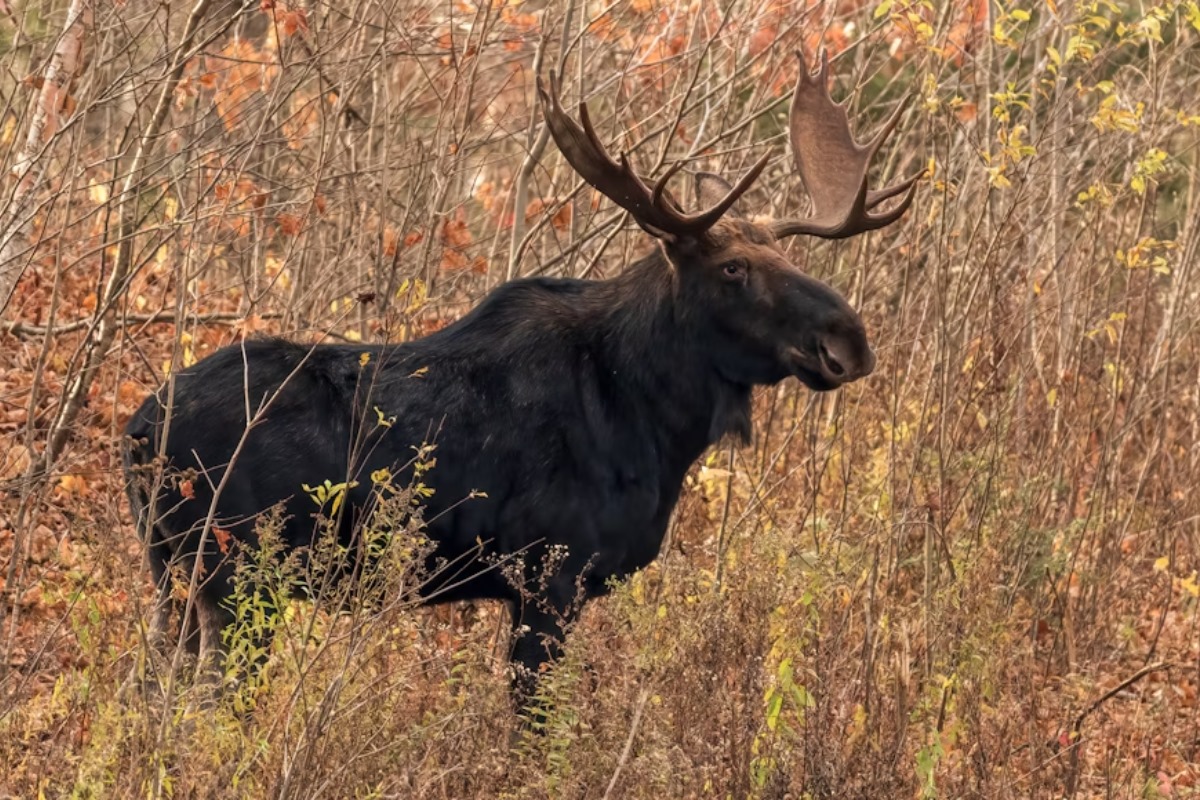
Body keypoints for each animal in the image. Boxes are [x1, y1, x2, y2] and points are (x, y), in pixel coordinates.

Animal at [123, 47, 921, 711]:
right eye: (733, 268)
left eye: (788, 259)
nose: (849, 341)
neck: (655, 422)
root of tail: (136, 432)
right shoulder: (548, 577)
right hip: (235, 577)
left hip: (173, 579)